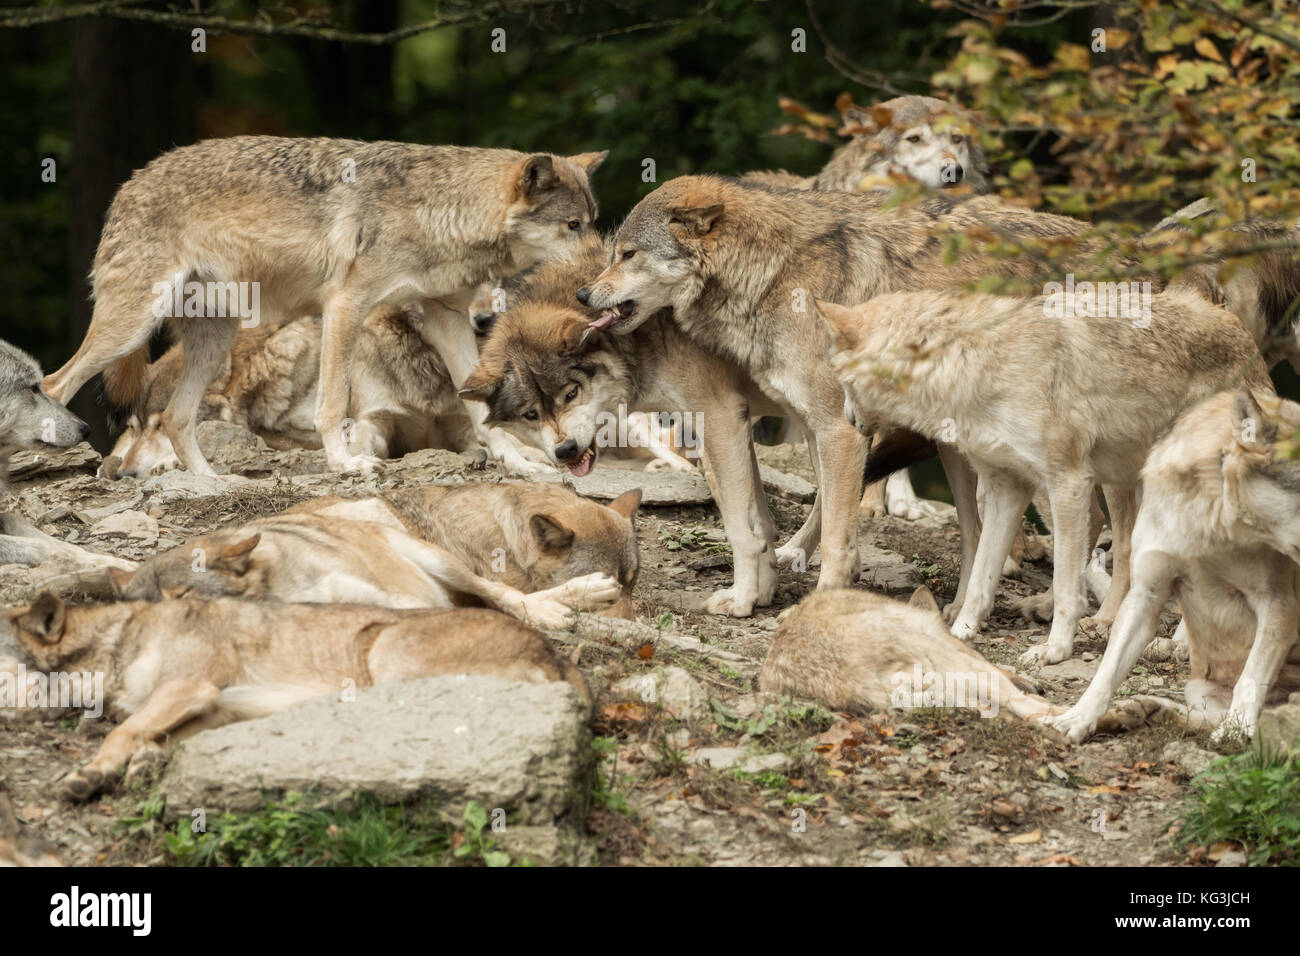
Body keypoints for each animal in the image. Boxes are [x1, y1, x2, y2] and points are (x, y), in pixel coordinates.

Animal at [0, 592, 590, 801]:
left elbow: (122, 732)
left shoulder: (191, 686)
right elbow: (154, 735)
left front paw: (88, 775)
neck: (117, 643)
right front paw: (145, 763)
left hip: (386, 654)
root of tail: (560, 656)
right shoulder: (220, 705)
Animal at [575, 175, 1094, 613]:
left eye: (628, 254)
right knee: (979, 534)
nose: (582, 295)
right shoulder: (810, 425)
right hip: (958, 450)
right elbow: (805, 514)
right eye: (614, 252)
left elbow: (832, 537)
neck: (772, 275)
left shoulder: (836, 429)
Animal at [818, 287, 1269, 667]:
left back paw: (1175, 643)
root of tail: (1240, 330)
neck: (974, 365)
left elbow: (1065, 585)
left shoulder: (1066, 484)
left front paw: (1054, 650)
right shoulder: (1006, 487)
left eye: (842, 383)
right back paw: (1119, 626)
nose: (847, 419)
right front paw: (960, 631)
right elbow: (981, 577)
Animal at [1043, 389, 1300, 745]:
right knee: (1196, 718)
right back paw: (1142, 710)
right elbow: (1106, 672)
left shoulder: (1278, 603)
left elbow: (1250, 676)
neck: (1209, 526)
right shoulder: (1147, 594)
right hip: (1197, 687)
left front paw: (1236, 730)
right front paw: (1075, 719)